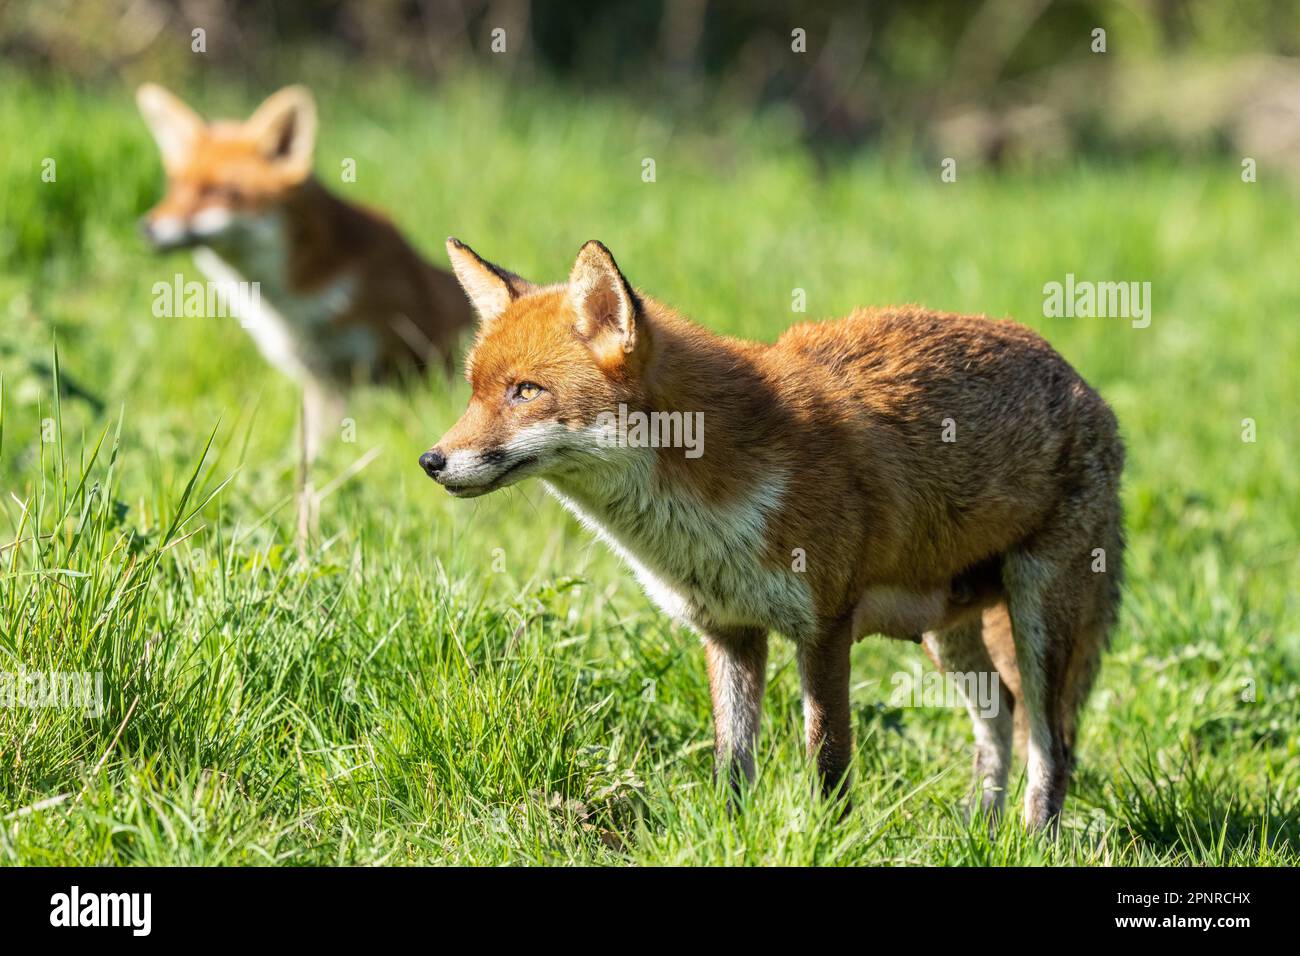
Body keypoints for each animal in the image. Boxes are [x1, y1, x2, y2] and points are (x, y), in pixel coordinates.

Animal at [136, 84, 473, 538]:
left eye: (221, 192)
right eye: (175, 186)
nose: (149, 228)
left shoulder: (397, 370)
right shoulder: (323, 384)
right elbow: (310, 462)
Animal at [420, 238, 1125, 829]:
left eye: (525, 391)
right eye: (473, 392)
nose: (432, 461)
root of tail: (1083, 383)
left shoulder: (825, 627)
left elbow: (829, 761)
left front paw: (830, 840)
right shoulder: (729, 631)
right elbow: (732, 765)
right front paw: (731, 838)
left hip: (1037, 621)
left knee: (1053, 745)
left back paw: (1033, 839)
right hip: (945, 633)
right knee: (1000, 719)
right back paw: (979, 829)